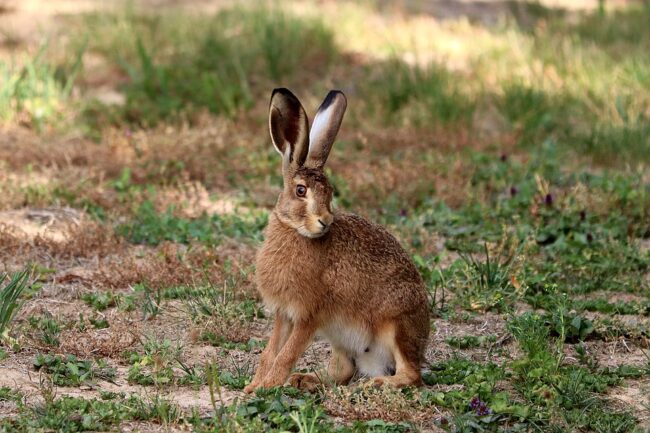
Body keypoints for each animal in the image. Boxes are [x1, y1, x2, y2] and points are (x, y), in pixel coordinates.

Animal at [243, 88, 430, 393]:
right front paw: (254, 385)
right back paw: (304, 379)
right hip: (341, 340)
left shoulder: (310, 315)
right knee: (343, 371)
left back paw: (376, 383)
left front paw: (264, 388)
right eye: (301, 190)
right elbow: (270, 352)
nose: (325, 221)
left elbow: (286, 354)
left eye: (330, 192)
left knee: (412, 375)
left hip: (396, 325)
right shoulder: (284, 314)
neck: (296, 232)